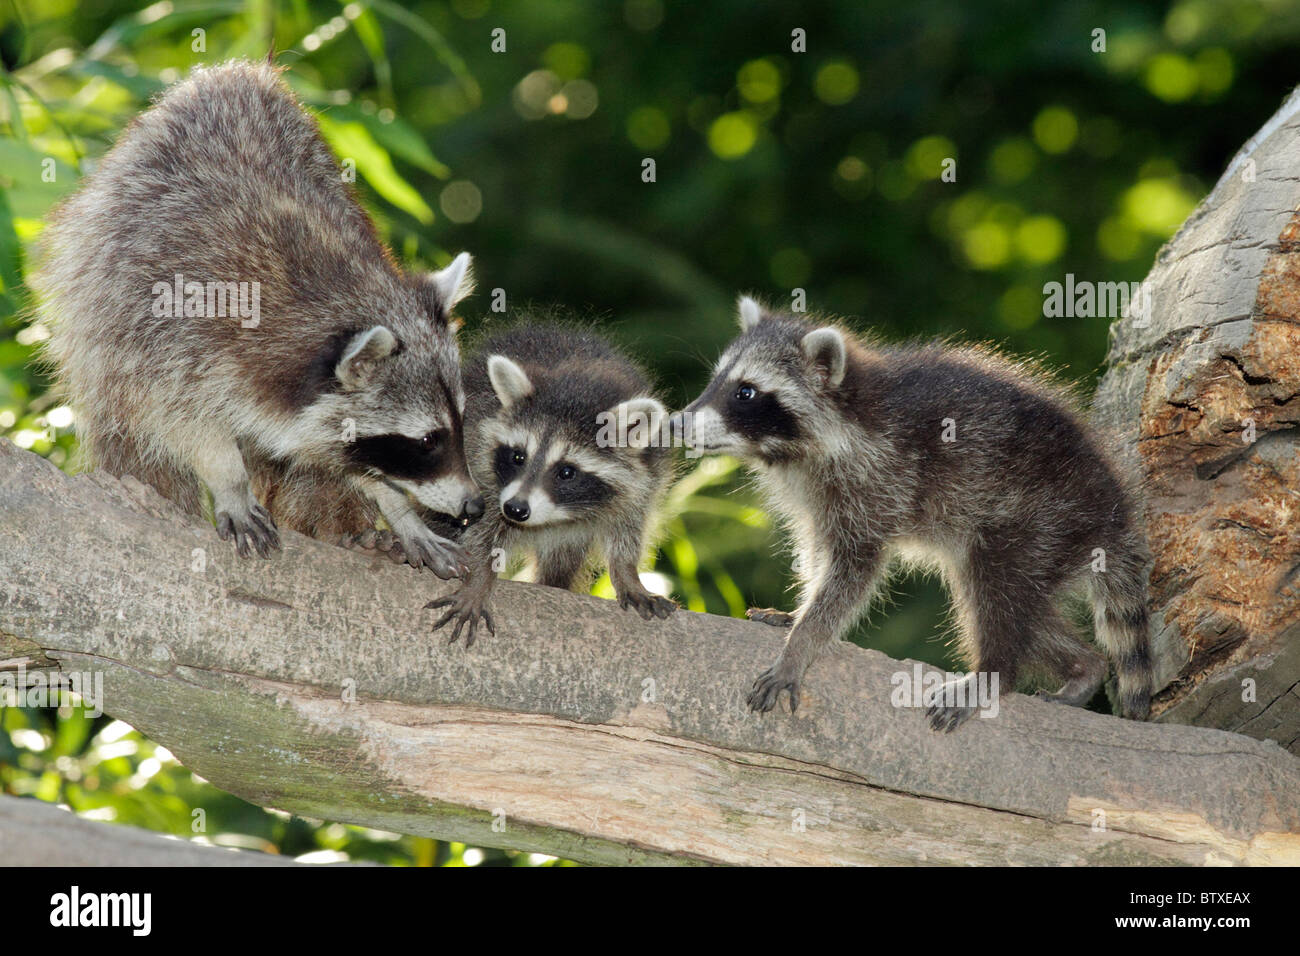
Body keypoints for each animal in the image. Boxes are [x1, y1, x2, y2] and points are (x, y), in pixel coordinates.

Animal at [33, 60, 481, 577]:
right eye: (427, 440)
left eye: (459, 422)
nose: (474, 506)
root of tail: (237, 72)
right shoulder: (163, 326)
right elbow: (176, 416)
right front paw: (227, 477)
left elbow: (340, 456)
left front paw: (396, 507)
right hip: (98, 301)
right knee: (132, 439)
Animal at [425, 323, 677, 645]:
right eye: (518, 456)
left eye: (566, 472)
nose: (516, 509)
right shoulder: (481, 464)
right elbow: (483, 530)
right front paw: (480, 578)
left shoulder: (644, 476)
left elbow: (628, 527)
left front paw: (627, 574)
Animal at [676, 296, 1153, 731]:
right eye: (717, 379)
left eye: (746, 392)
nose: (677, 422)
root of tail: (1114, 513)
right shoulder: (821, 499)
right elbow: (818, 552)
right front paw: (798, 611)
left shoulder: (878, 483)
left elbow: (850, 577)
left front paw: (801, 643)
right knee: (1025, 613)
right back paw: (1084, 666)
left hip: (1041, 518)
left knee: (994, 594)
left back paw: (994, 671)